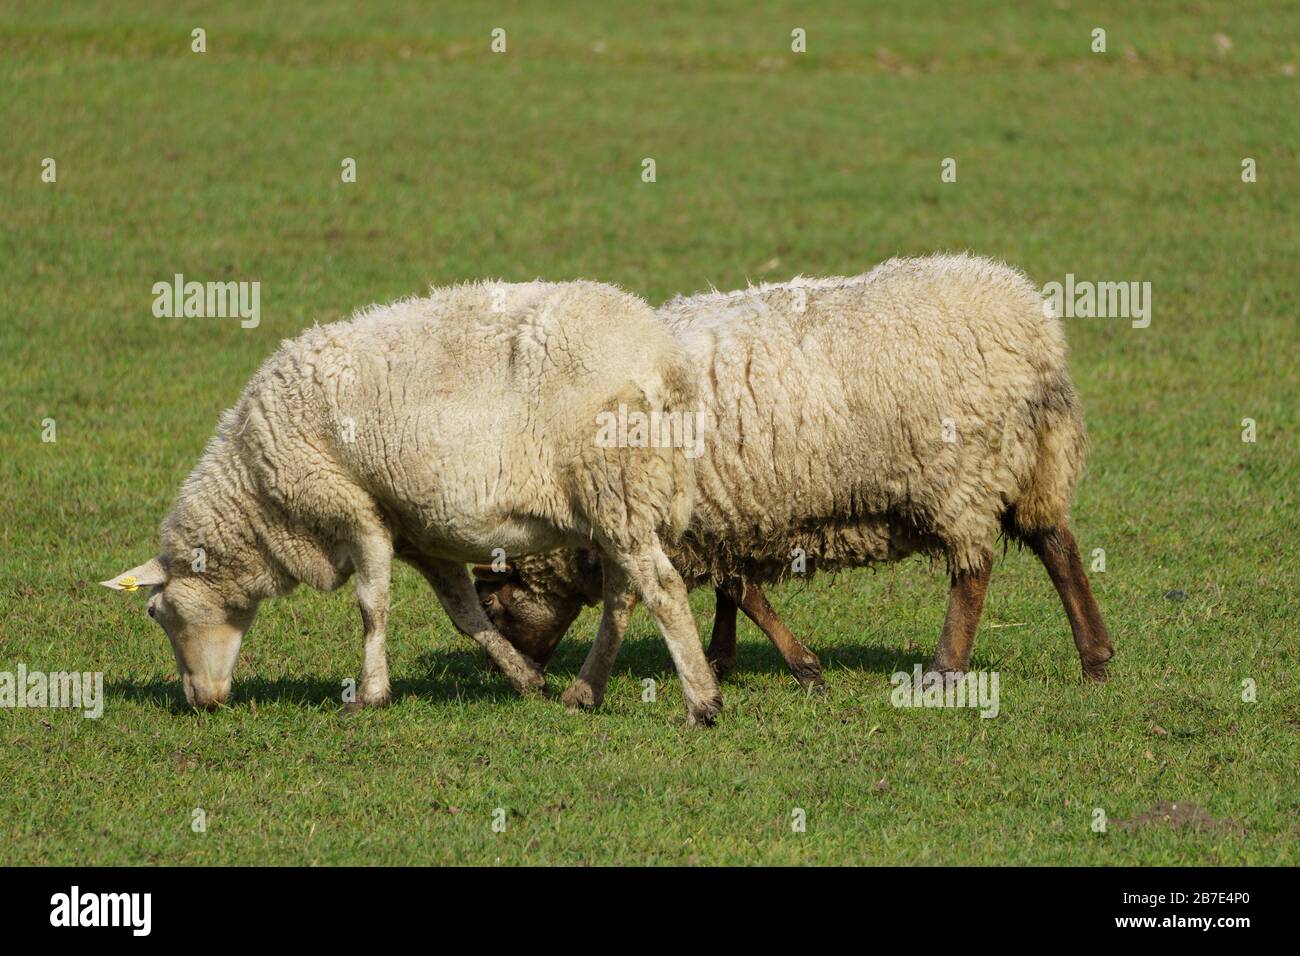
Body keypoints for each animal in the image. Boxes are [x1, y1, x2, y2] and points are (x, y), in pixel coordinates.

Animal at [101, 280, 725, 726]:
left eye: (157, 613)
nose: (198, 702)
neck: (256, 494)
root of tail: (665, 360)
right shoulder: (417, 534)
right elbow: (465, 615)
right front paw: (524, 678)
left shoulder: (354, 510)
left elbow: (371, 607)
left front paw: (369, 695)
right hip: (616, 502)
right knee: (623, 595)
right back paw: (585, 691)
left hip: (614, 483)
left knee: (661, 589)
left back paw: (702, 703)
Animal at [475, 254, 1115, 703]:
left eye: (499, 607)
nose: (523, 684)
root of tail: (1035, 332)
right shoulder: (724, 515)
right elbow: (734, 589)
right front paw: (723, 656)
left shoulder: (693, 525)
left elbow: (743, 592)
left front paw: (802, 669)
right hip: (1031, 465)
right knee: (1056, 543)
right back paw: (1096, 658)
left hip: (961, 475)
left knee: (975, 572)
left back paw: (943, 670)